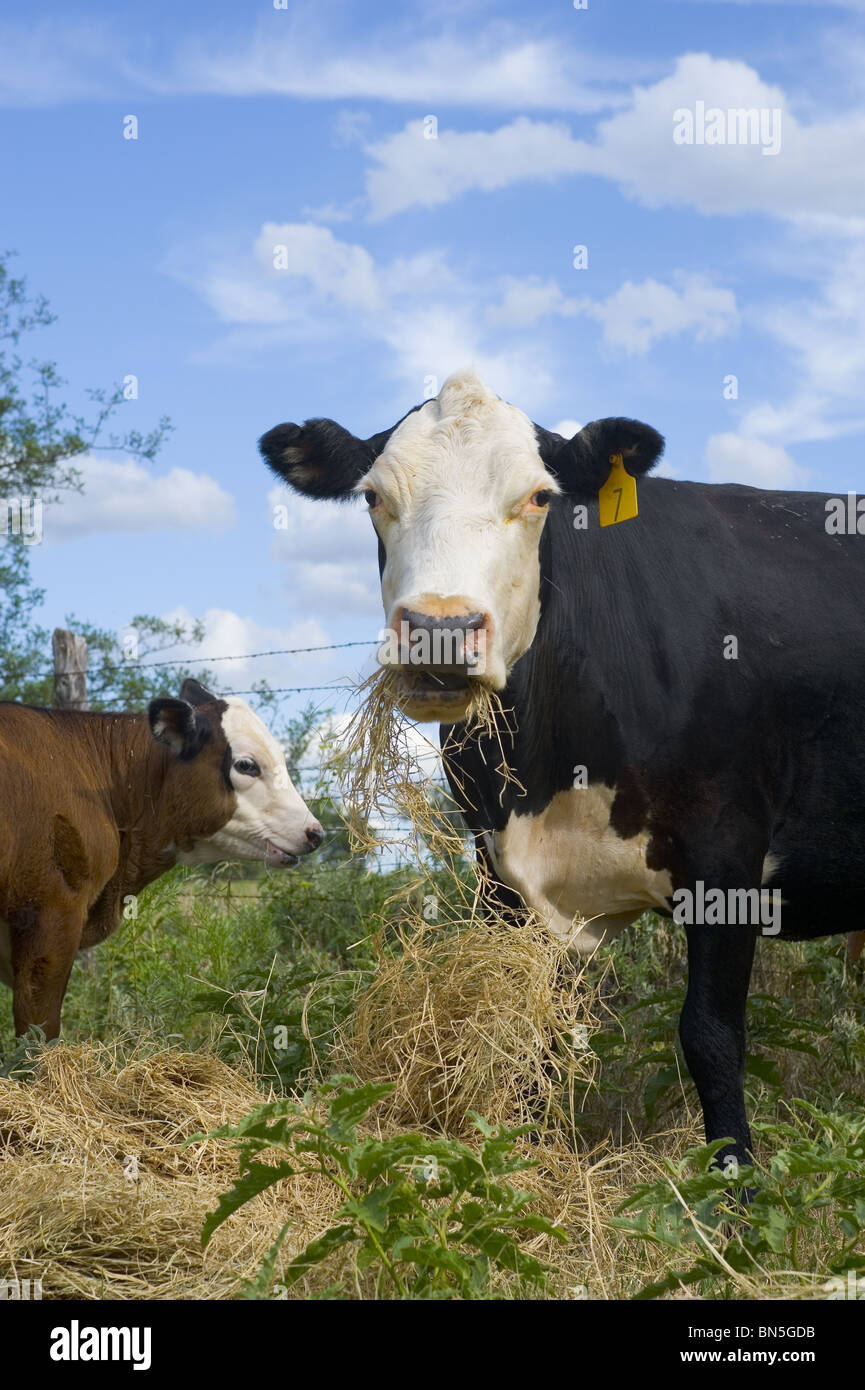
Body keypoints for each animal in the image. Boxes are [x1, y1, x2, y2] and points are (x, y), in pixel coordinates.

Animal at [260, 368, 865, 1174]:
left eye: (538, 498)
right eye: (373, 497)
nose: (441, 631)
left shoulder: (728, 852)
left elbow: (710, 1036)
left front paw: (735, 1190)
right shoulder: (499, 872)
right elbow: (524, 1034)